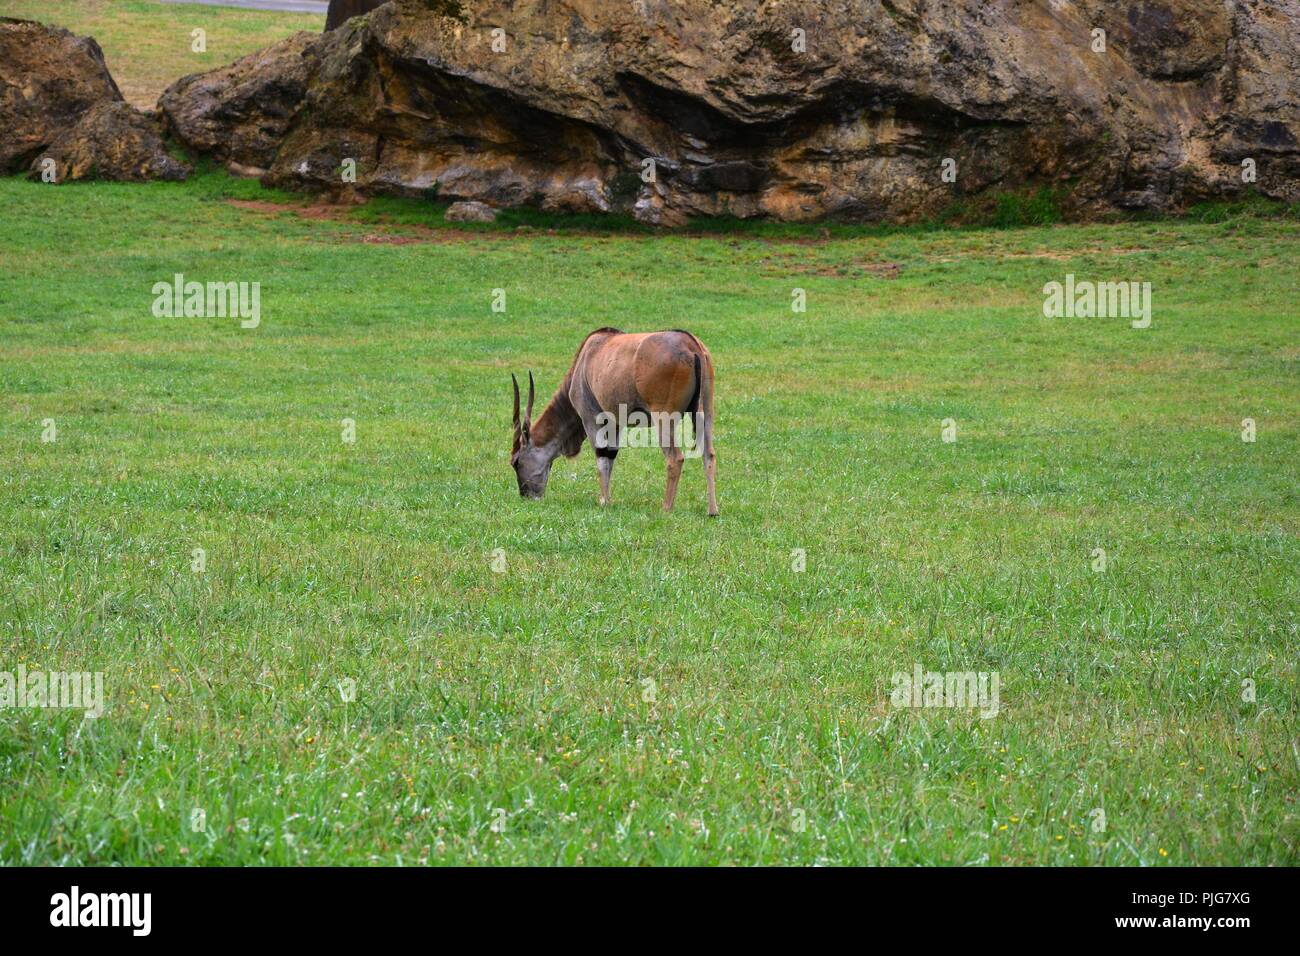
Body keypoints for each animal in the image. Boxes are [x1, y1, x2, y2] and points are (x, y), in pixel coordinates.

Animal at [511, 328, 718, 515]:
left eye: (516, 462)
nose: (526, 495)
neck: (586, 360)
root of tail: (690, 344)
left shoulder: (591, 418)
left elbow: (602, 458)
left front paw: (604, 502)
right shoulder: (616, 424)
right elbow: (610, 456)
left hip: (664, 419)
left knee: (675, 459)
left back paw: (666, 508)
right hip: (705, 414)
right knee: (708, 454)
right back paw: (712, 511)